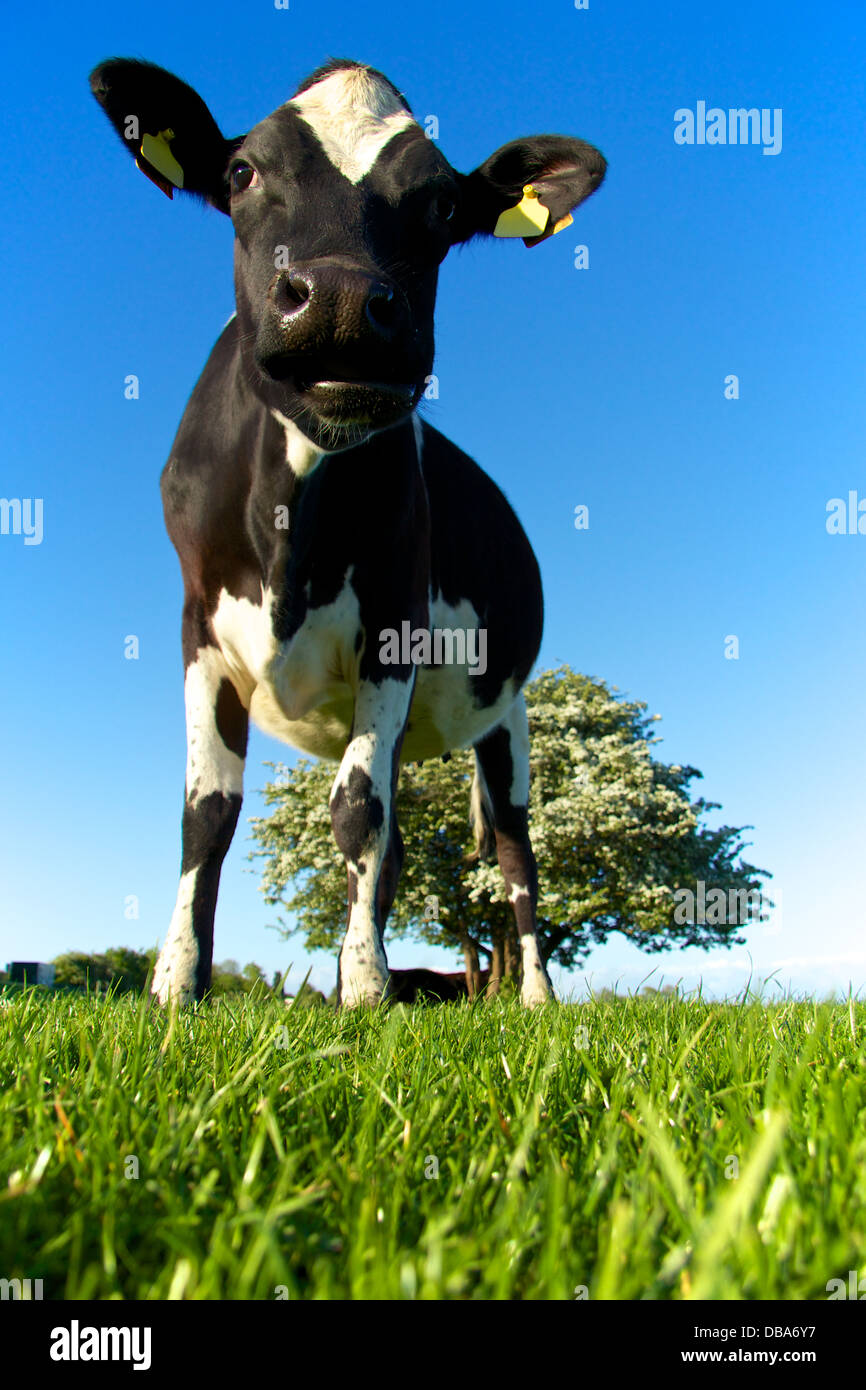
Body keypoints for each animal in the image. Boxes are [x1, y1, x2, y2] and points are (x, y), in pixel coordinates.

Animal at [89, 56, 605, 1009]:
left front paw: (365, 986)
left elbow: (357, 810)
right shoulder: (197, 622)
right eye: (242, 172)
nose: (336, 298)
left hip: (508, 718)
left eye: (442, 202)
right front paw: (177, 984)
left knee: (514, 851)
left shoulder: (395, 623)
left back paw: (534, 996)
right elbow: (206, 812)